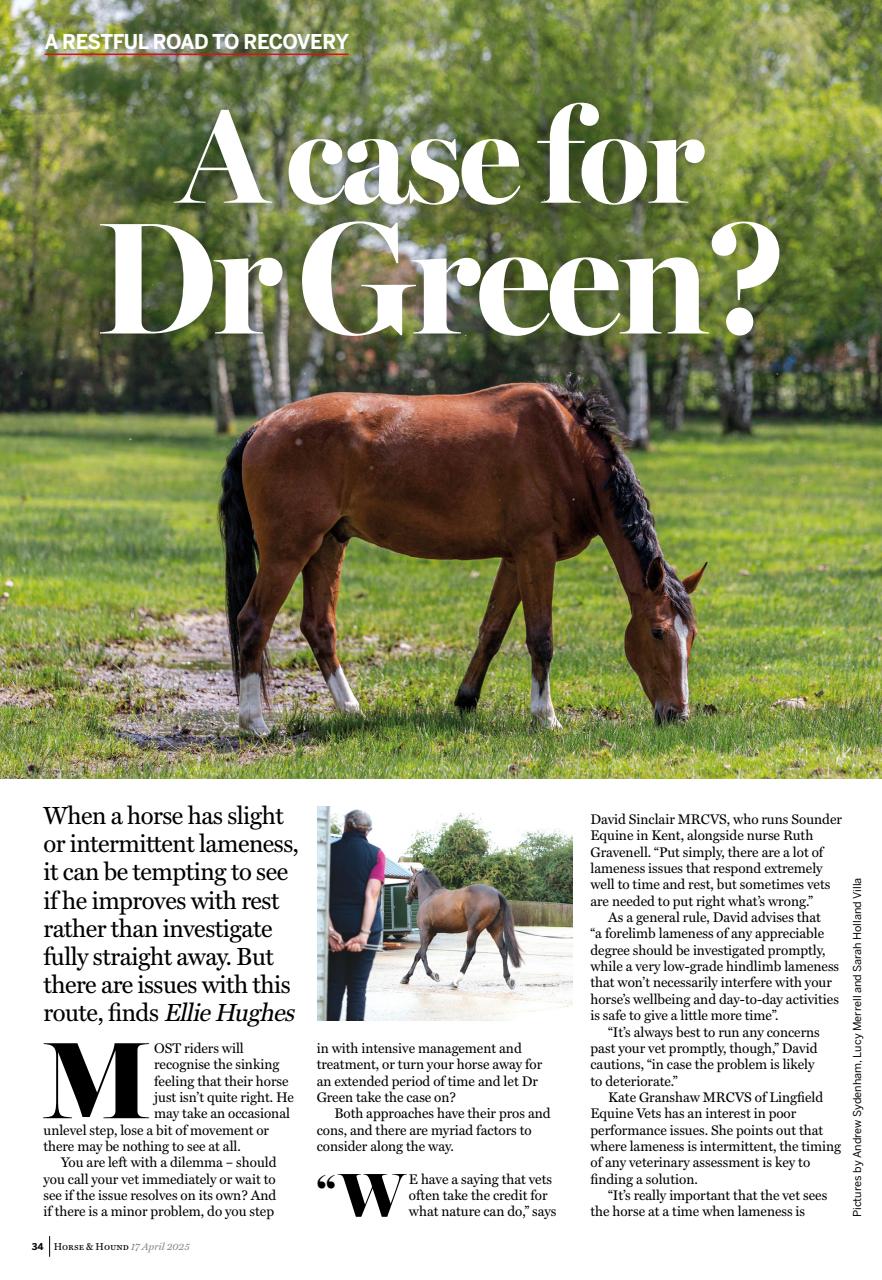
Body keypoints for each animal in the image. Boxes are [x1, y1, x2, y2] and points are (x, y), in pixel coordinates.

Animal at [219, 375, 706, 736]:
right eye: (658, 632)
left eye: (692, 636)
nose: (677, 714)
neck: (565, 449)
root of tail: (263, 426)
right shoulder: (536, 552)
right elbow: (541, 638)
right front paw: (545, 716)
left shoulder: (515, 558)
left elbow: (492, 631)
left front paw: (466, 699)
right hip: (288, 551)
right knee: (252, 623)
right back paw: (254, 723)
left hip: (327, 545)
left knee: (319, 627)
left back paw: (351, 709)